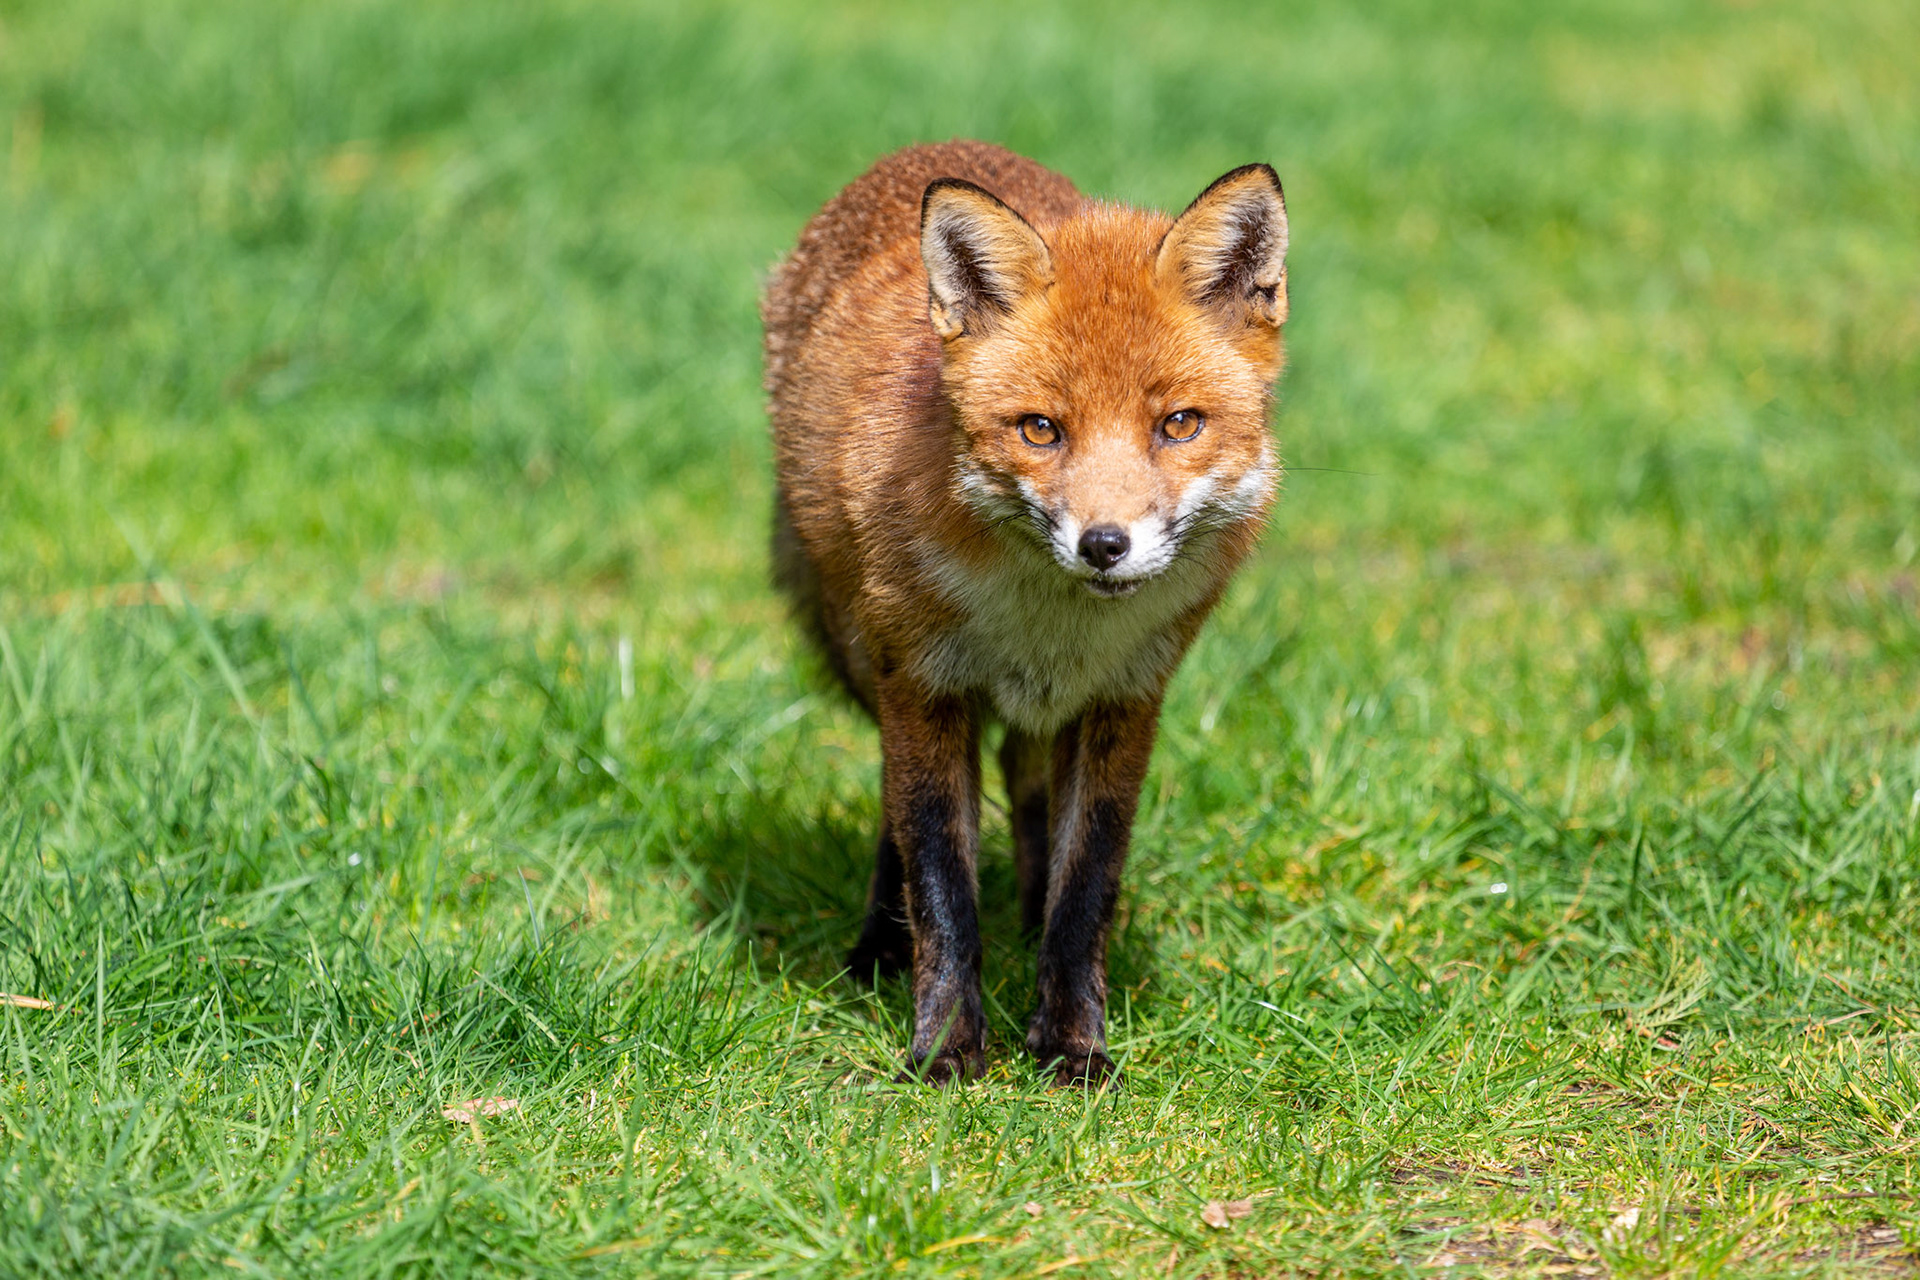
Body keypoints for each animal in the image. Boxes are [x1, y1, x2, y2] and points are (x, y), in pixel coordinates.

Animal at [762, 140, 1288, 1086]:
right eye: (1040, 429)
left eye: (1179, 425)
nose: (1106, 545)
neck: (1050, 629)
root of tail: (932, 149)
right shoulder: (925, 688)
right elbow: (940, 885)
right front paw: (943, 1048)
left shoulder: (1127, 700)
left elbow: (1088, 889)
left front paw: (1073, 1043)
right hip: (863, 656)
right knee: (900, 819)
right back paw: (879, 946)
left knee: (1031, 788)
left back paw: (1027, 910)